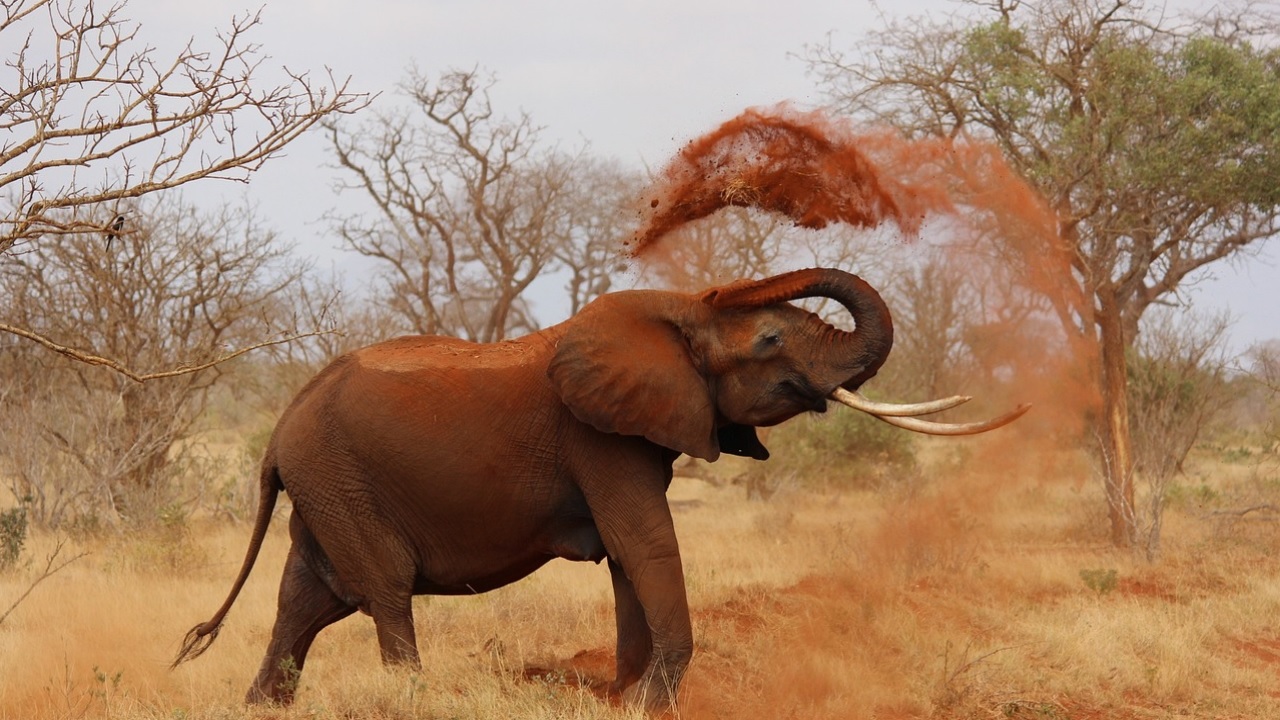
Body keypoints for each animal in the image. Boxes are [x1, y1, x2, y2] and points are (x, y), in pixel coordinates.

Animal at [172, 267, 1023, 711]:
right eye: (773, 338)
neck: (676, 314)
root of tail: (280, 429)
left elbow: (627, 560)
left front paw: (624, 698)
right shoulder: (599, 439)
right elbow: (644, 544)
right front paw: (650, 704)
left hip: (325, 486)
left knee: (306, 601)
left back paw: (260, 707)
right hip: (340, 480)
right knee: (381, 592)